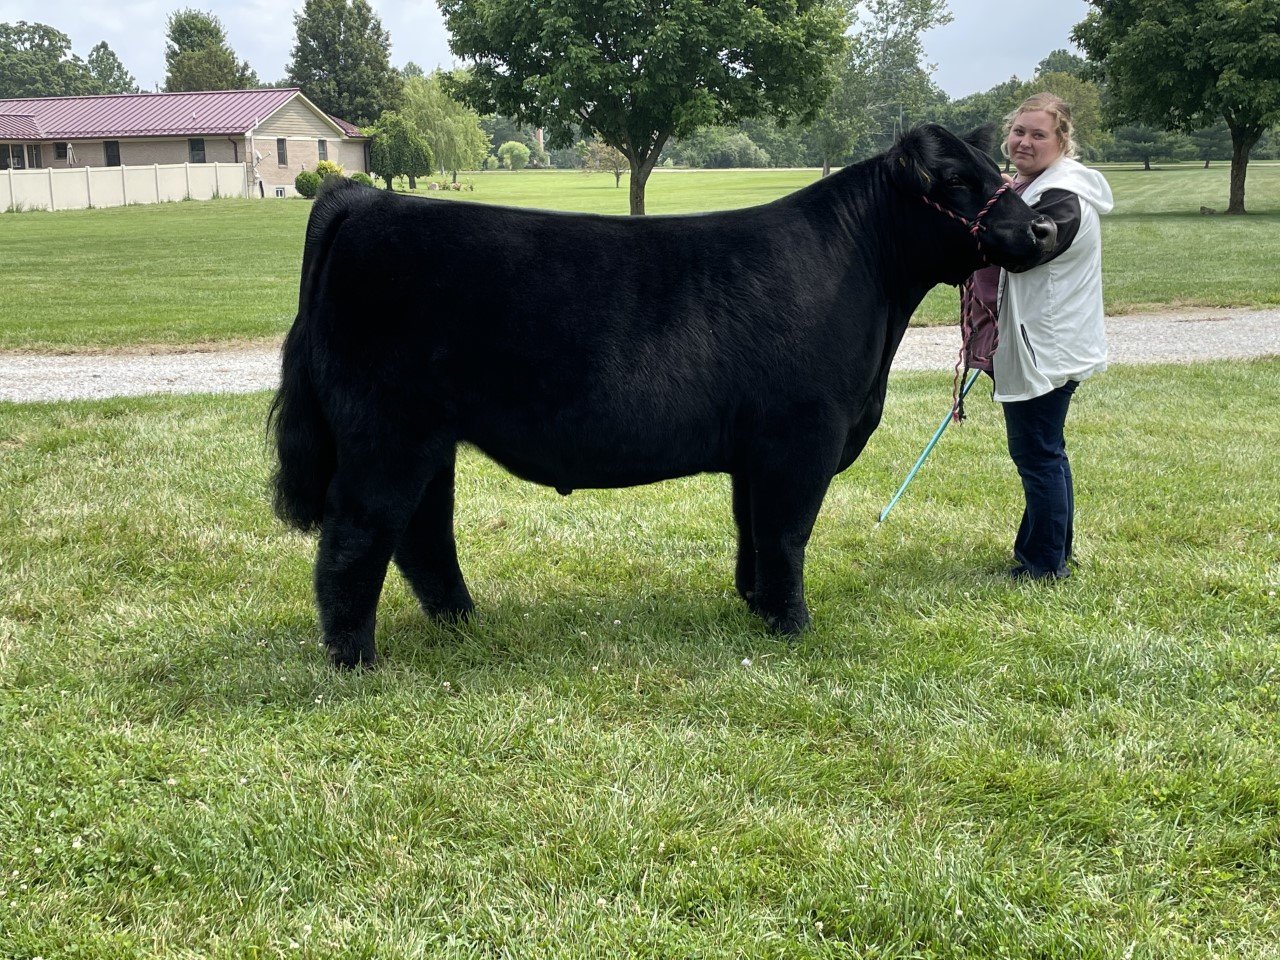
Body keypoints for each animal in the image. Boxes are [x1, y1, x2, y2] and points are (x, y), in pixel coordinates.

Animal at [270, 124, 1056, 667]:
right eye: (952, 179)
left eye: (999, 167)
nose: (1043, 225)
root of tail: (368, 199)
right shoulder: (803, 435)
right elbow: (787, 532)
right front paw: (794, 625)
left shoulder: (756, 451)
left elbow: (752, 531)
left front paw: (757, 608)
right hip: (387, 433)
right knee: (359, 533)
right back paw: (355, 659)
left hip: (431, 439)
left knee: (424, 532)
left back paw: (462, 622)